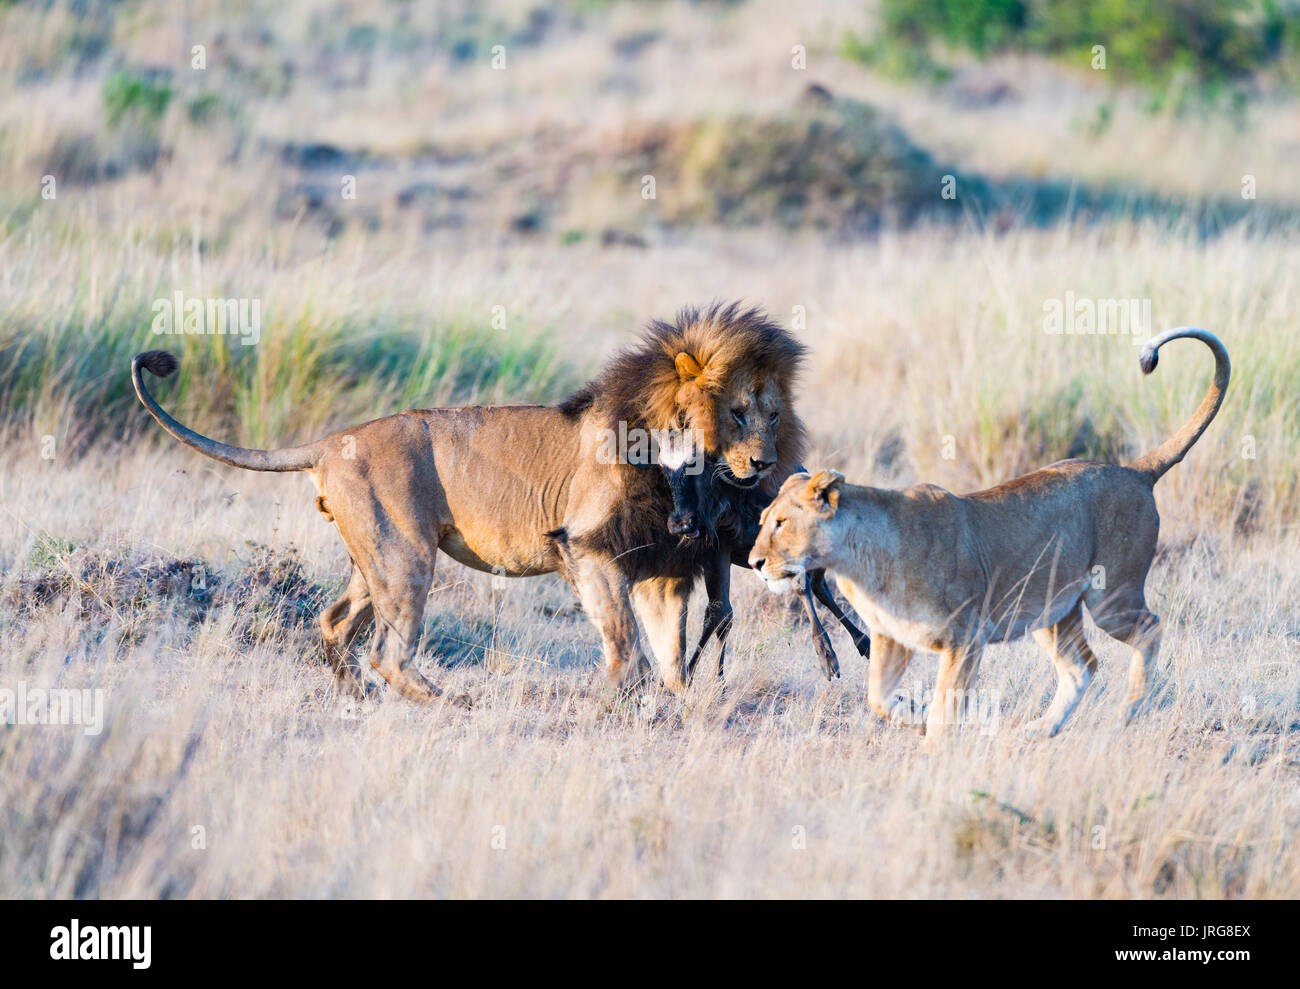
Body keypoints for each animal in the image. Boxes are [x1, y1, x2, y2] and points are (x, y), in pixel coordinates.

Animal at [131, 302, 806, 702]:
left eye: (773, 415)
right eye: (737, 411)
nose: (764, 464)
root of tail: (331, 441)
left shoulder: (662, 566)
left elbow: (669, 653)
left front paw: (676, 709)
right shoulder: (586, 549)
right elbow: (624, 643)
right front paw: (614, 701)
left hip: (373, 559)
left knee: (335, 622)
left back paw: (353, 696)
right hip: (407, 558)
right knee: (388, 653)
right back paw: (452, 703)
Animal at [749, 327, 1230, 740]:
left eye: (780, 523)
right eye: (761, 521)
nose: (754, 563)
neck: (856, 563)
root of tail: (1134, 471)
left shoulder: (966, 637)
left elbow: (946, 708)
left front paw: (935, 752)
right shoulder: (893, 639)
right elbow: (878, 699)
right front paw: (916, 716)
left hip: (1111, 595)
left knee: (1149, 628)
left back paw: (1126, 714)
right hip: (1050, 610)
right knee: (1082, 666)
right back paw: (1041, 730)